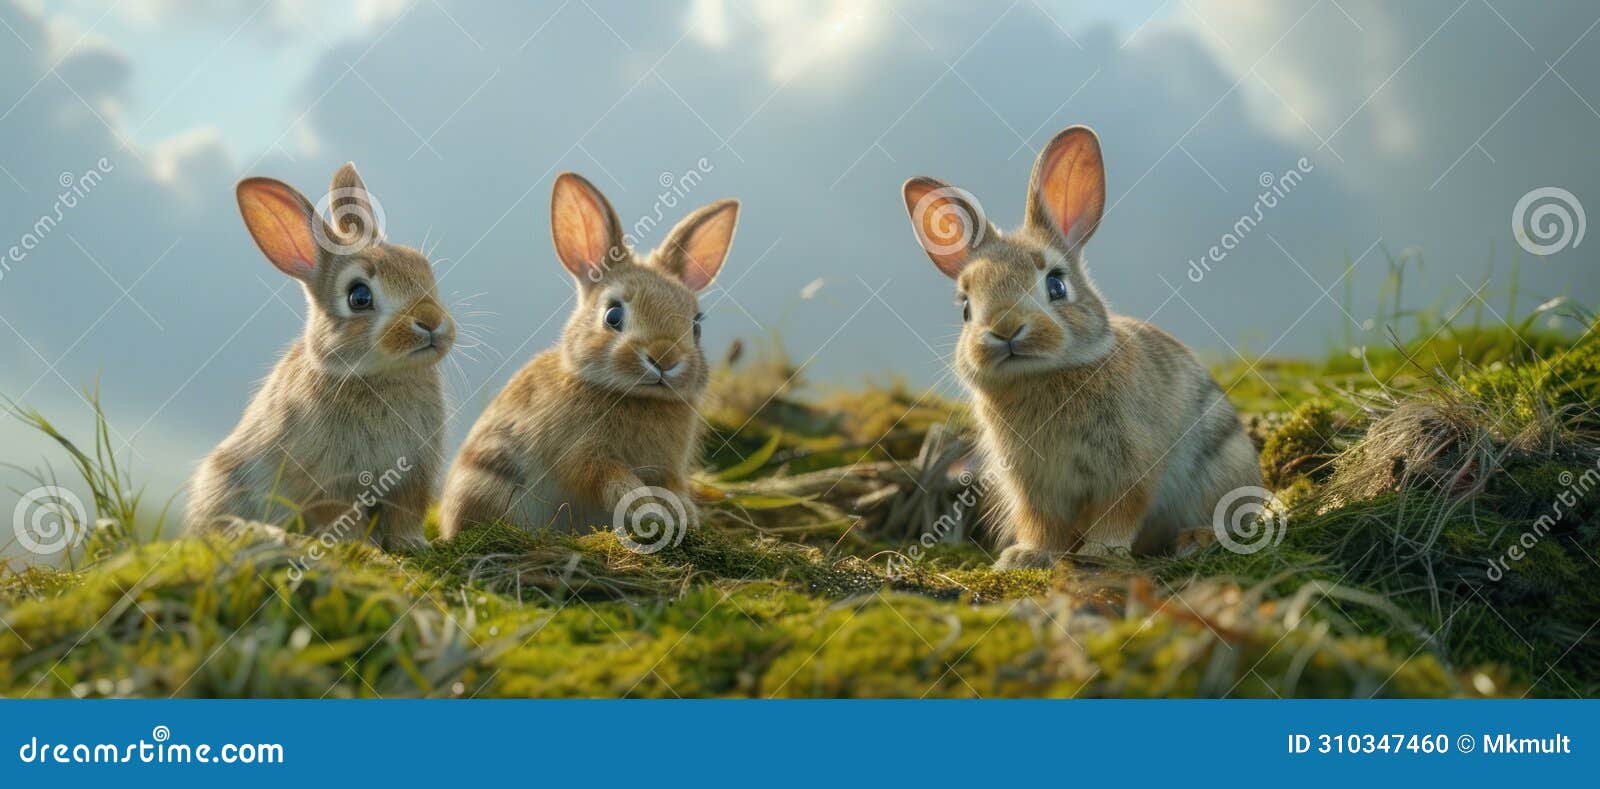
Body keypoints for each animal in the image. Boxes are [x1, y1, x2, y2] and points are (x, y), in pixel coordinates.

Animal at [184, 163, 454, 551]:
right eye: (359, 296)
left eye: (421, 266)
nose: (431, 322)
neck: (377, 376)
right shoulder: (326, 480)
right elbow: (341, 516)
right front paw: (361, 548)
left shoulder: (413, 475)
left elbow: (405, 514)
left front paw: (412, 544)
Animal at [438, 172, 738, 542]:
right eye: (613, 315)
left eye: (696, 325)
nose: (664, 359)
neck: (637, 397)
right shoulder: (584, 456)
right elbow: (613, 480)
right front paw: (648, 510)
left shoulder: (667, 466)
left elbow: (671, 486)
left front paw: (688, 515)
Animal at [900, 125, 1261, 569]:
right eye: (965, 306)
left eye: (1056, 284)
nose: (1004, 329)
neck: (1043, 375)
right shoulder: (1032, 486)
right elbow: (1042, 522)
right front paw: (1027, 556)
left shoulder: (1128, 469)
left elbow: (1118, 513)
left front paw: (1100, 554)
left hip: (1223, 467)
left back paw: (1196, 538)